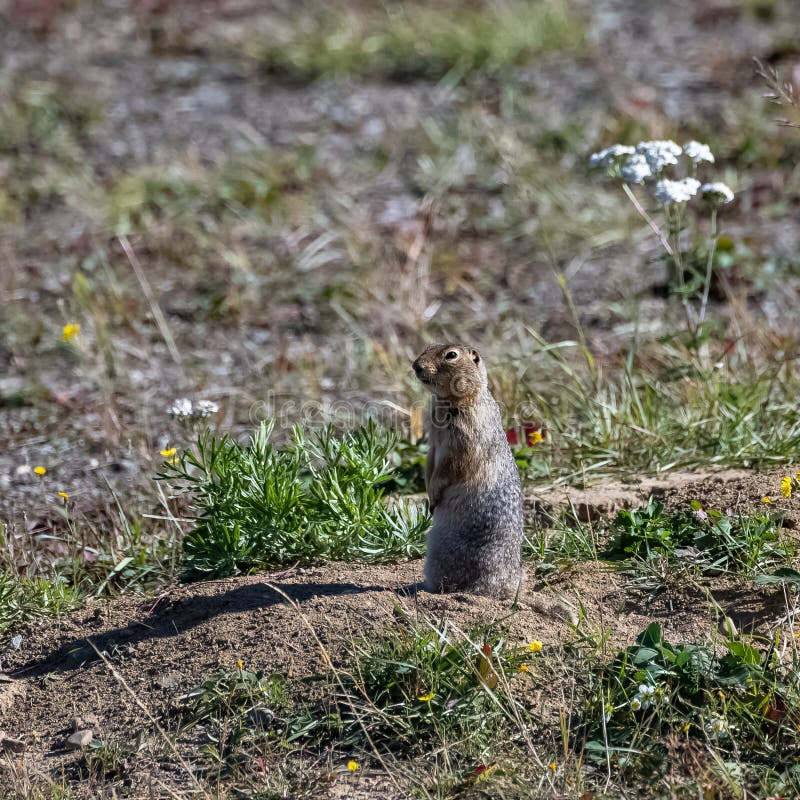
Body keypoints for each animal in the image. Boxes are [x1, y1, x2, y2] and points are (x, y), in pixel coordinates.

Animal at [412, 343, 524, 599]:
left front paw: (434, 496)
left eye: (451, 355)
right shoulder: (434, 442)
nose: (415, 365)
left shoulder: (464, 436)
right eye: (428, 347)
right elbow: (430, 461)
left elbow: (452, 465)